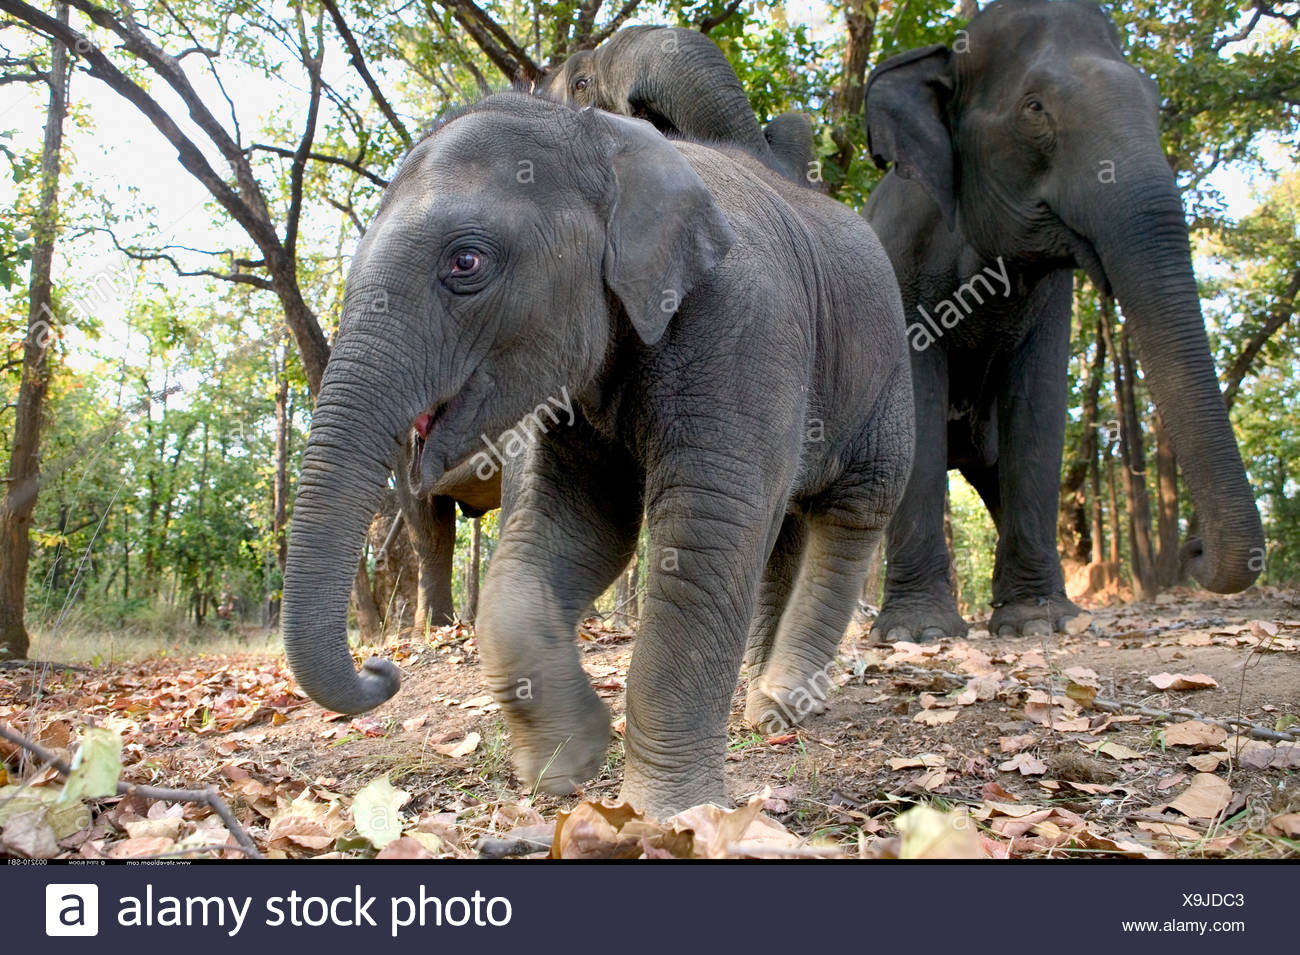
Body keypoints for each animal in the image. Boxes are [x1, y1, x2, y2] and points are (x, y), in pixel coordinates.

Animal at [280, 93, 913, 816]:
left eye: (465, 263)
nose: (381, 668)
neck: (609, 136)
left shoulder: (750, 323)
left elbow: (706, 534)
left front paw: (669, 817)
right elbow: (578, 529)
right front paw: (567, 764)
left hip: (886, 373)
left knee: (854, 512)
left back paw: (785, 703)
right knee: (787, 527)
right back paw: (760, 707)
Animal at [862, 0, 1264, 642]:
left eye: (1155, 101)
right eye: (1035, 108)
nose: (1196, 551)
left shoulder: (1052, 296)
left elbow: (1040, 398)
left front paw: (1038, 623)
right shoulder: (901, 260)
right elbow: (919, 394)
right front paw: (918, 634)